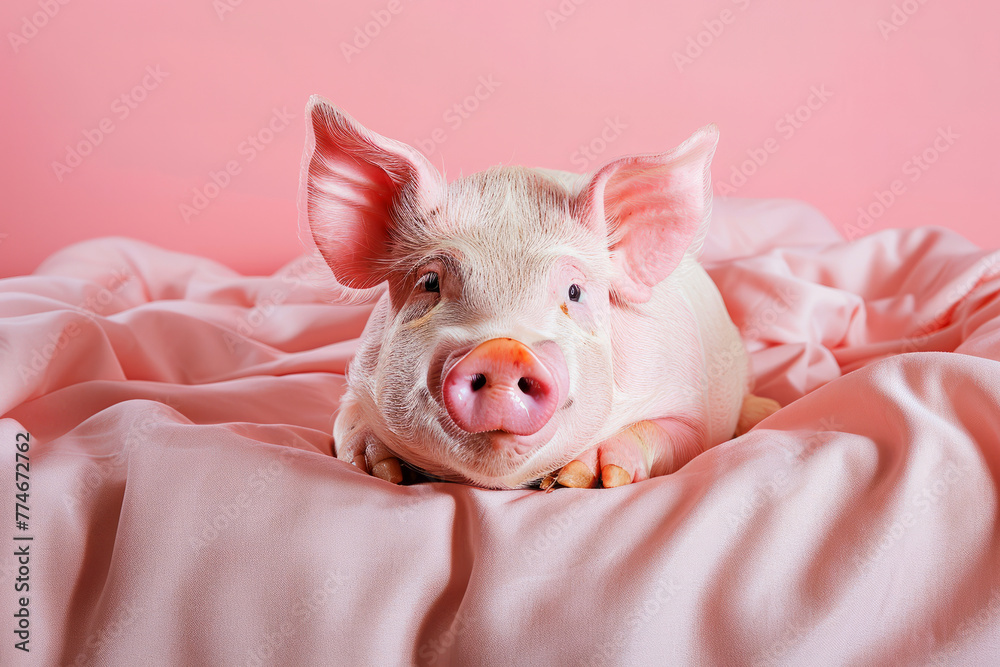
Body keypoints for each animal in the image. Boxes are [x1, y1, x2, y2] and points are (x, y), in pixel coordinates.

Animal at [301, 95, 780, 490]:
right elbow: (348, 422)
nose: (503, 350)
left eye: (575, 291)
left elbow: (677, 436)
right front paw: (382, 469)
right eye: (430, 283)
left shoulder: (692, 404)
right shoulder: (359, 378)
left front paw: (584, 476)